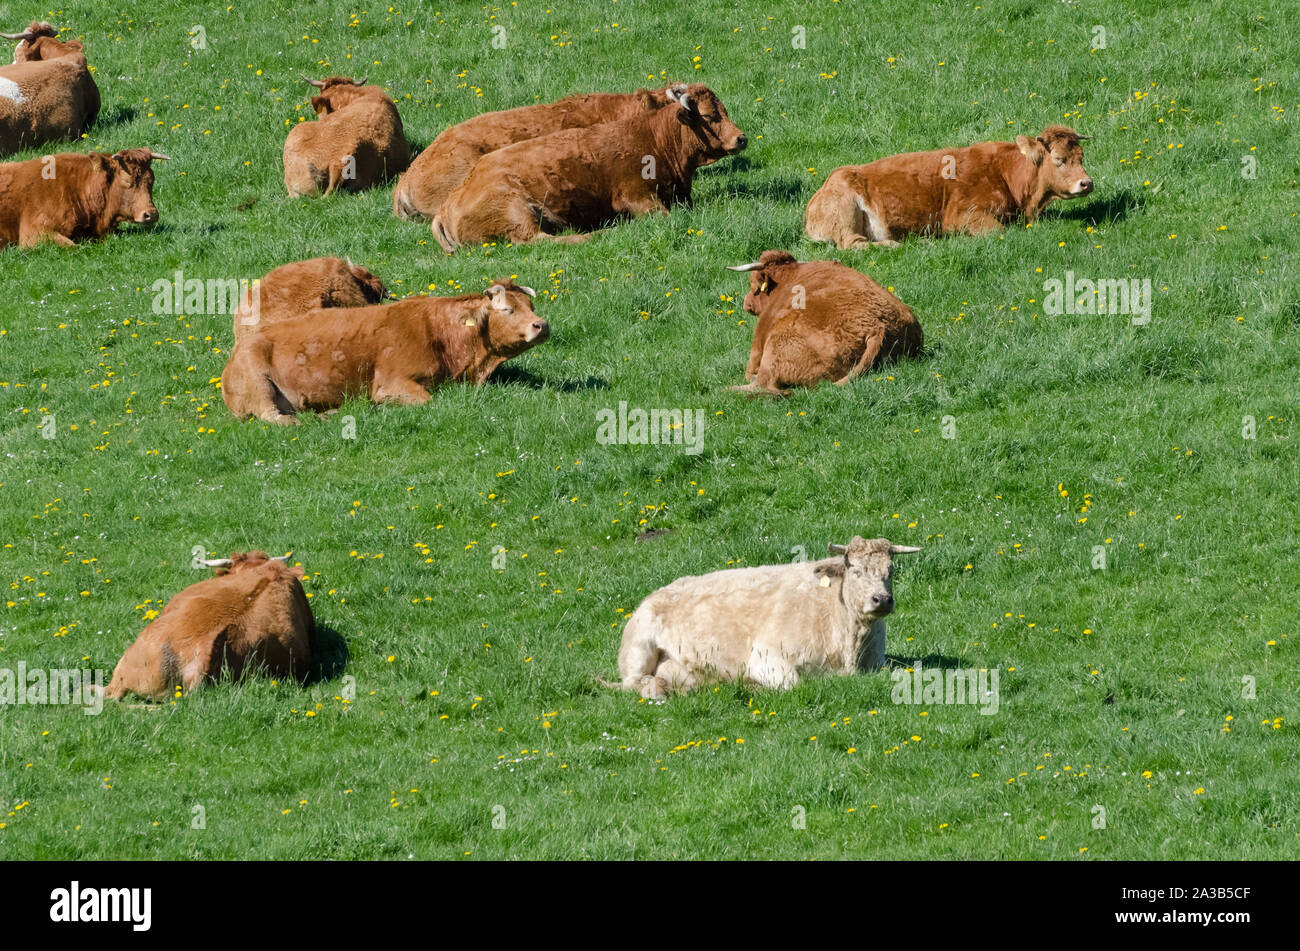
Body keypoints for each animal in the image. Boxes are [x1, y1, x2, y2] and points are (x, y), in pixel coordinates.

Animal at [221, 281, 548, 424]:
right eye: (507, 310)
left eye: (530, 306)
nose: (541, 325)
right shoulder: (391, 382)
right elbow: (427, 401)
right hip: (258, 382)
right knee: (273, 417)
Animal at [432, 83, 746, 251]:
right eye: (709, 115)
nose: (741, 138)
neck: (654, 138)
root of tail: (448, 203)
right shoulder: (638, 198)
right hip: (516, 212)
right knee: (542, 240)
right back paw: (602, 232)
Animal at [609, 537, 921, 699]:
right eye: (855, 570)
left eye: (891, 570)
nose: (882, 599)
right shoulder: (766, 655)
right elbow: (793, 684)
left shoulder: (878, 664)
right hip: (640, 647)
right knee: (634, 683)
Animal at [725, 250, 922, 395]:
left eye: (753, 284)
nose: (746, 303)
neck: (789, 279)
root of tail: (878, 327)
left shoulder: (759, 341)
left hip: (775, 346)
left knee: (763, 384)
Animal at [804, 125, 1094, 249]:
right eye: (1059, 159)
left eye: (1082, 157)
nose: (1086, 183)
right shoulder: (963, 215)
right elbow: (999, 231)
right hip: (845, 214)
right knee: (853, 244)